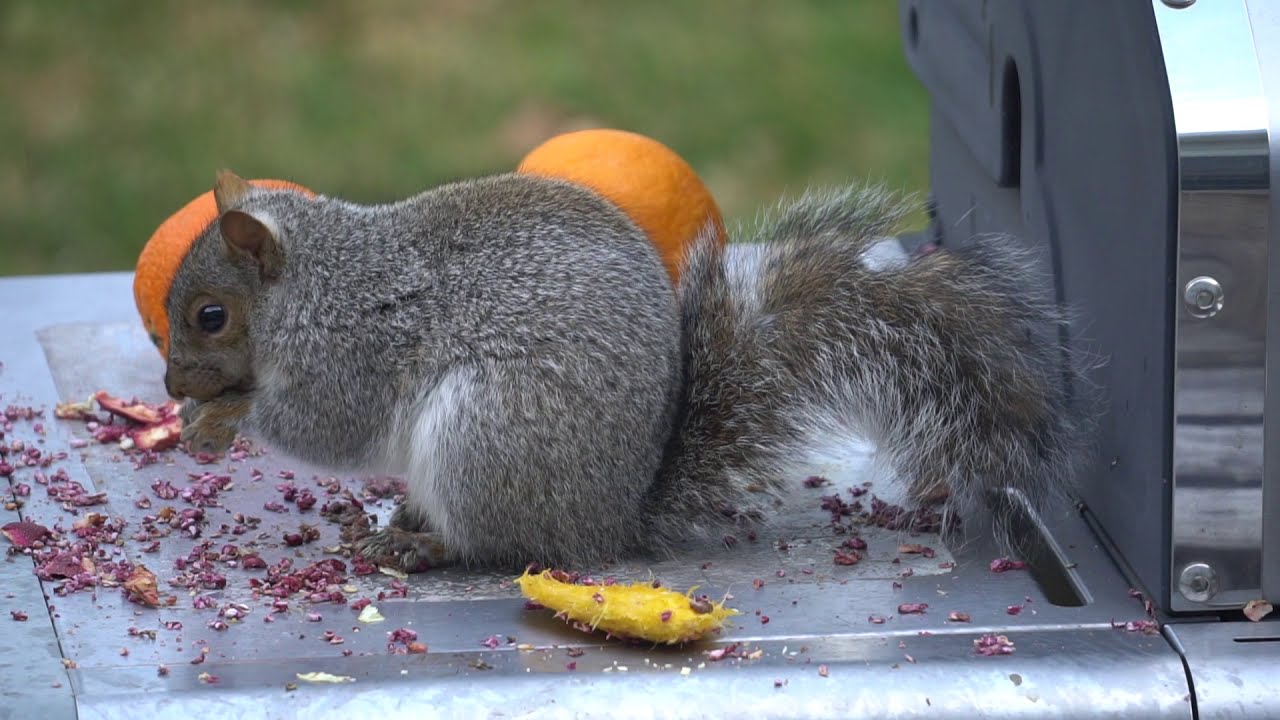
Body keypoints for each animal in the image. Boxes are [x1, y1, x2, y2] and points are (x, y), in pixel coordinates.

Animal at [162, 169, 1092, 572]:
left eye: (210, 315)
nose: (171, 387)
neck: (322, 280)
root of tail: (614, 516)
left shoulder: (354, 345)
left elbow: (327, 424)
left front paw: (225, 416)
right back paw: (398, 523)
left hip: (488, 436)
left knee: (499, 546)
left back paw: (425, 548)